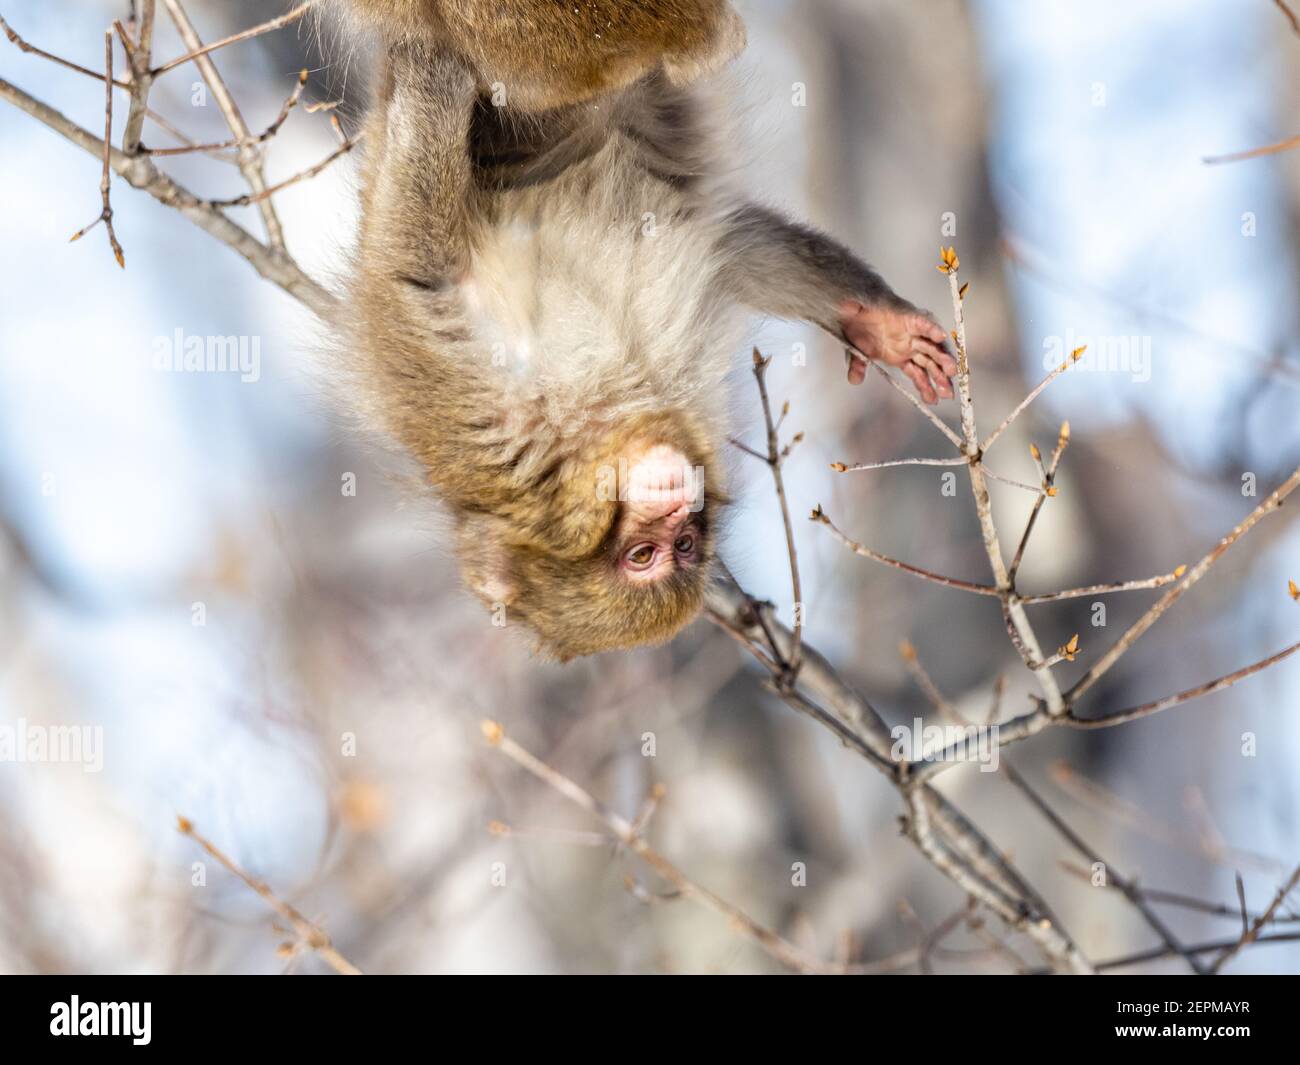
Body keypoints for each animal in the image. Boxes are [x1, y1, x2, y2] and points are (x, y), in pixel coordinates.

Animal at [334, 2, 958, 661]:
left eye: (680, 544)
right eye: (648, 555)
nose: (677, 504)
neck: (608, 414)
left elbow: (416, 270)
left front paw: (879, 323)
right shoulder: (482, 431)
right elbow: (731, 245)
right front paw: (874, 324)